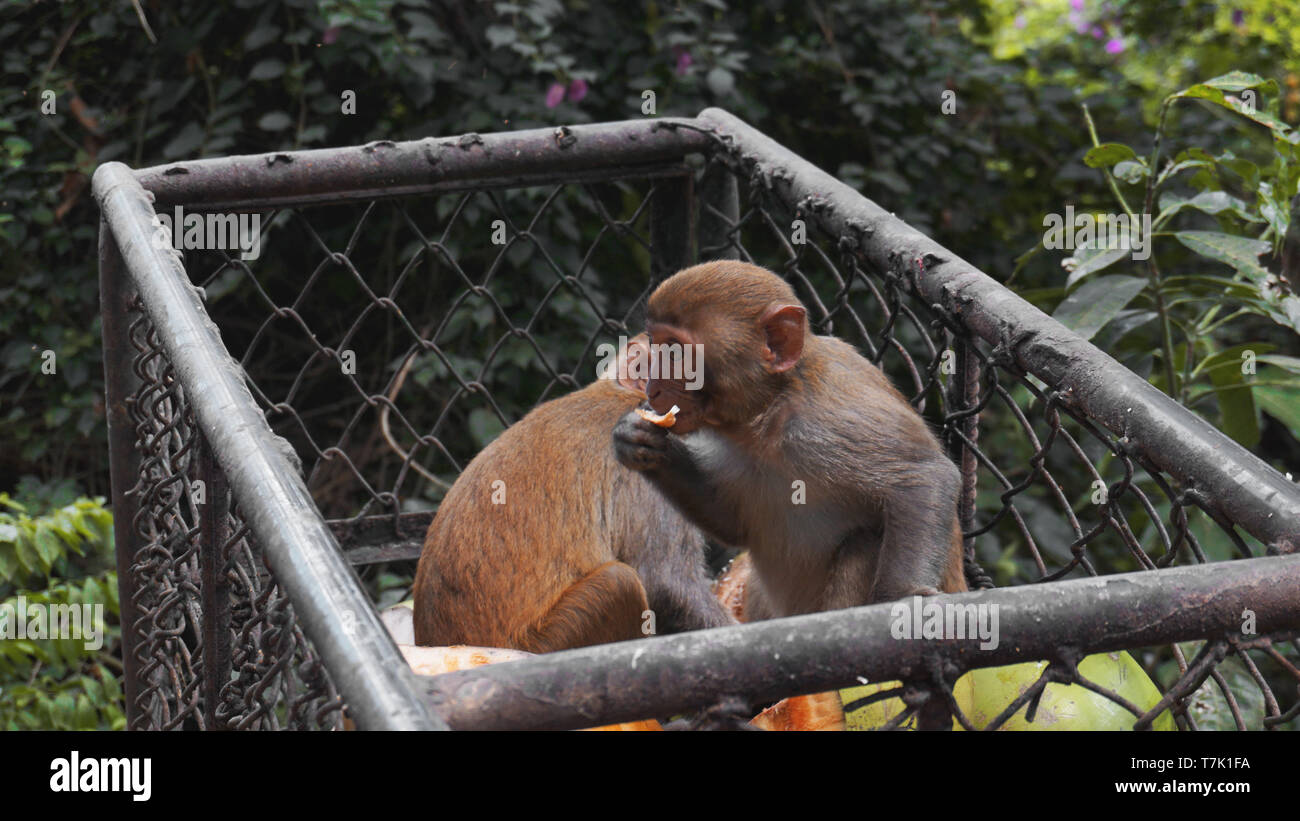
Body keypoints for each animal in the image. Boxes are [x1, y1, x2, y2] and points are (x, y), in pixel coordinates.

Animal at [612, 261, 967, 621]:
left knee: (864, 543)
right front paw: (641, 441)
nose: (652, 387)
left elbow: (925, 476)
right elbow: (732, 520)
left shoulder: (826, 423)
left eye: (676, 351)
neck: (768, 413)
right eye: (657, 344)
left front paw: (902, 597)